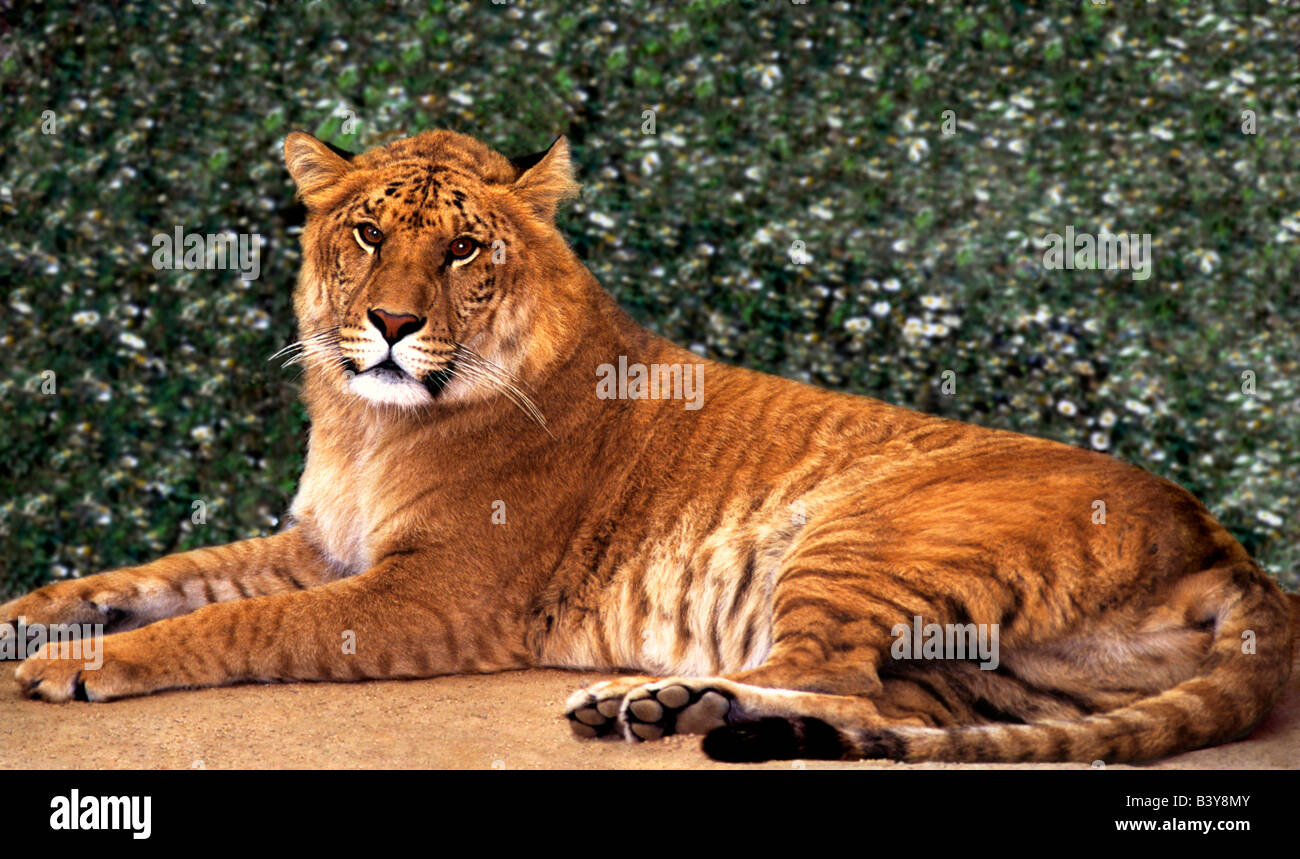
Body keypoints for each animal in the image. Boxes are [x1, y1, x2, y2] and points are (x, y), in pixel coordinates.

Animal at [3, 129, 1292, 764]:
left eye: (463, 248)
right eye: (365, 233)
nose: (392, 323)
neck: (368, 421)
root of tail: (1226, 545)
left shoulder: (430, 598)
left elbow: (232, 623)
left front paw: (87, 666)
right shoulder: (320, 548)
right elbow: (166, 574)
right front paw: (35, 614)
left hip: (865, 530)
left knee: (832, 672)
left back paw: (656, 704)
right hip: (982, 671)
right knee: (890, 709)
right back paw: (685, 711)